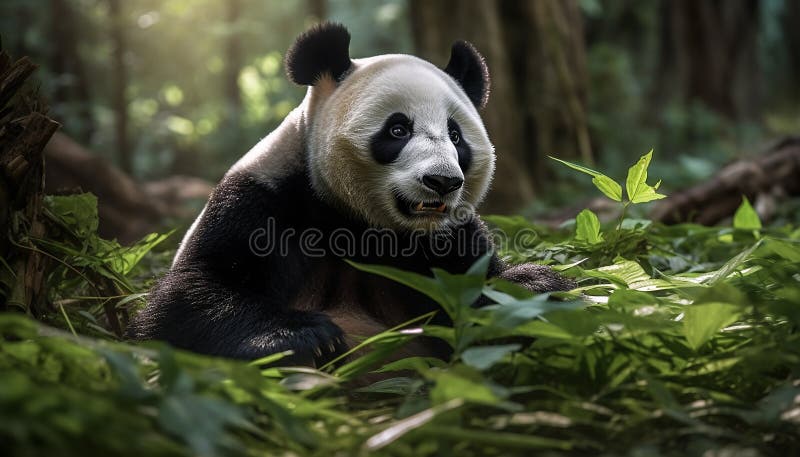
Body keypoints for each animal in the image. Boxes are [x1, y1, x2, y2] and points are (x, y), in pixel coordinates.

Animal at [127, 23, 573, 367]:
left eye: (456, 135)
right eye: (398, 129)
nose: (443, 181)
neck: (356, 222)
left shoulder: (447, 236)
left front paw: (532, 287)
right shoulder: (262, 200)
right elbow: (186, 298)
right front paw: (303, 337)